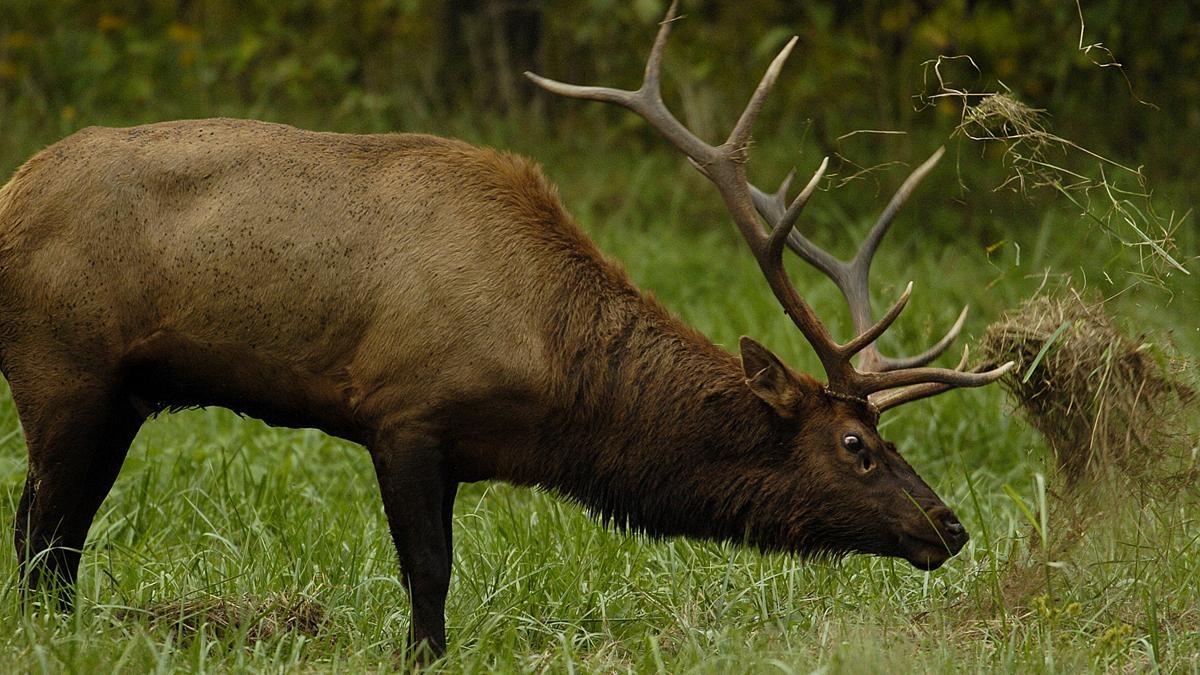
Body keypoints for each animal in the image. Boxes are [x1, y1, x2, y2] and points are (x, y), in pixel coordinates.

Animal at [0, 1, 1011, 659]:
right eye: (855, 445)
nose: (951, 524)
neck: (557, 395)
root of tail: (10, 191)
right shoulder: (405, 412)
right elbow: (429, 578)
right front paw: (421, 654)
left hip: (119, 397)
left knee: (50, 544)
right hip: (65, 374)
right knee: (41, 540)